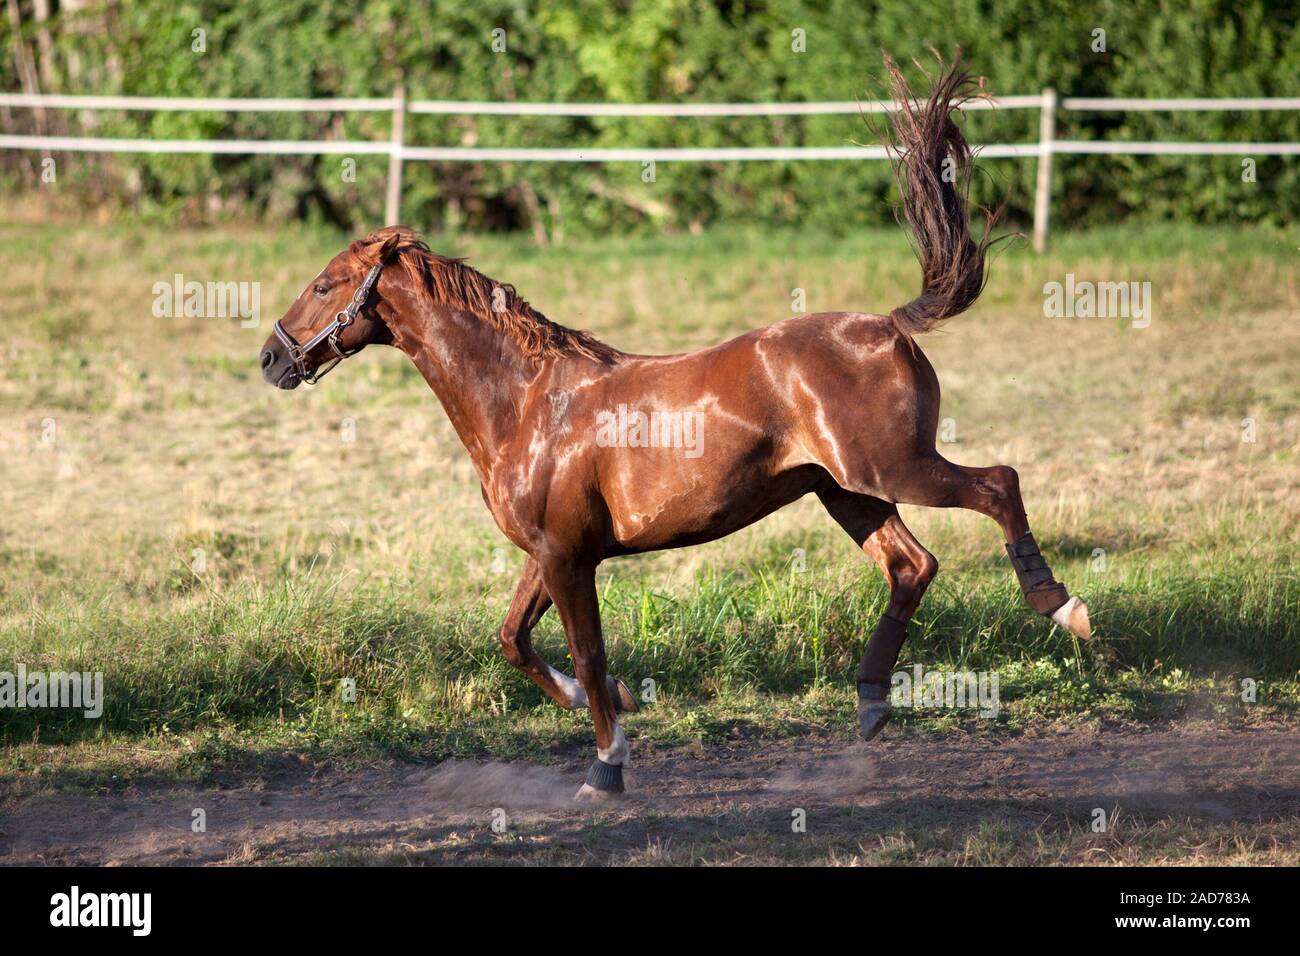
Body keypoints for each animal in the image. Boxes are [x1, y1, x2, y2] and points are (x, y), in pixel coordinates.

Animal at [259, 55, 1090, 799]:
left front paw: (606, 767)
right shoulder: (549, 551)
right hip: (847, 492)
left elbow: (585, 654)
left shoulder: (568, 557)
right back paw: (871, 701)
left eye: (324, 285)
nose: (271, 358)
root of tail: (886, 325)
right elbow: (515, 641)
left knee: (997, 485)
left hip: (893, 468)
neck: (528, 402)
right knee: (913, 566)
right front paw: (617, 704)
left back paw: (1060, 605)